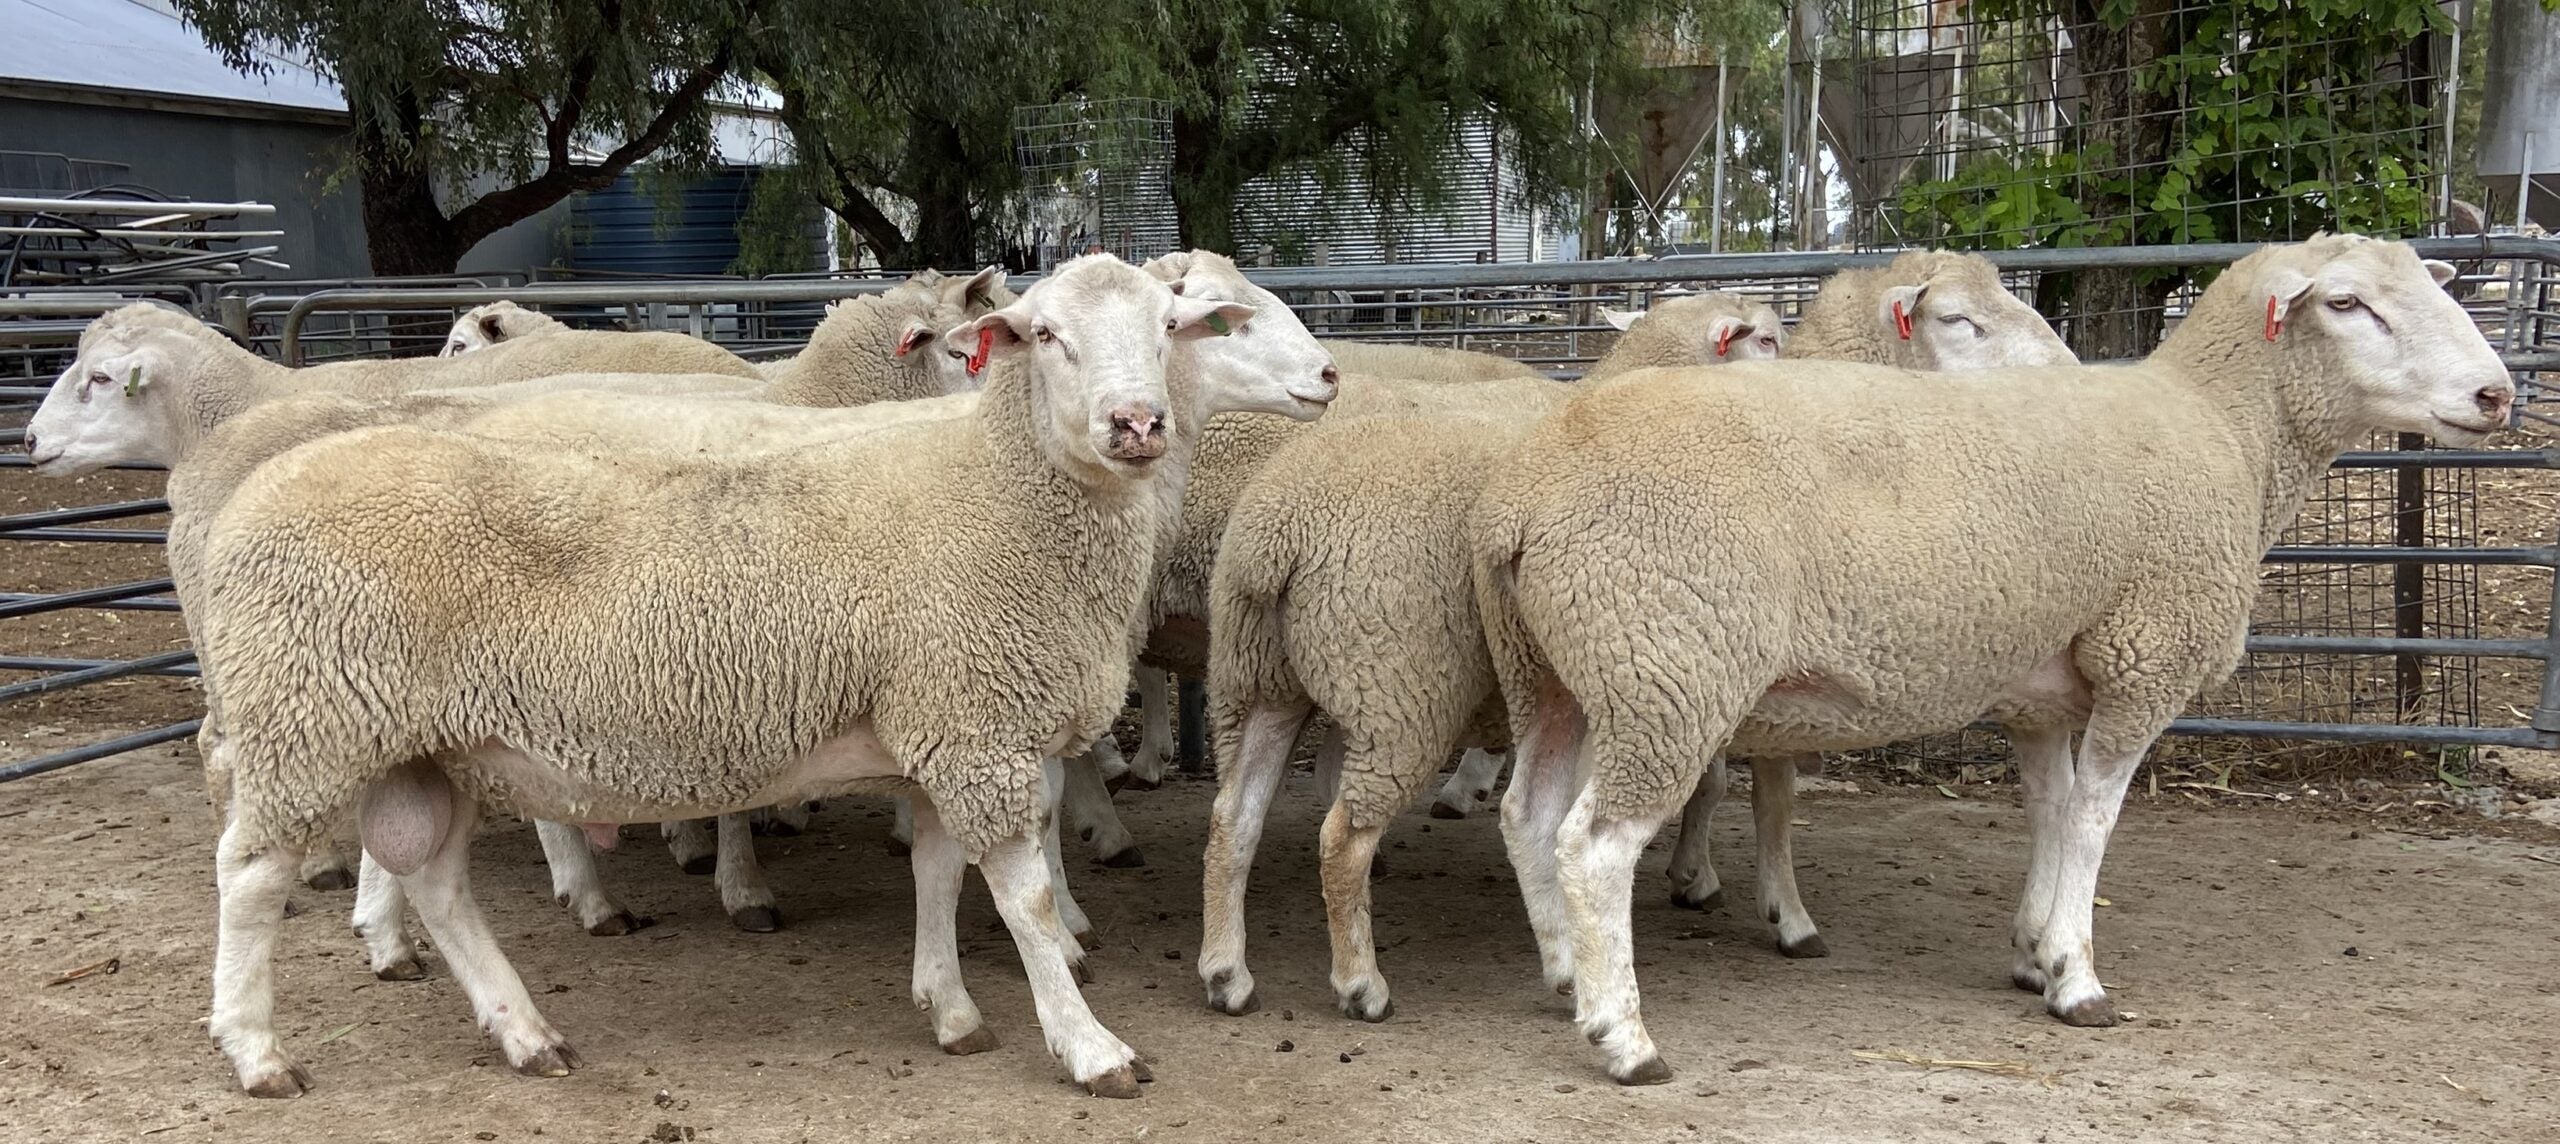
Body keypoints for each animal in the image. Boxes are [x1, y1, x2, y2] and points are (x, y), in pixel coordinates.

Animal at [189, 253, 1273, 1100]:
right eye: (1045, 334)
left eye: (1167, 327)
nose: (1136, 424)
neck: (998, 488)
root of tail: (246, 501)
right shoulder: (976, 724)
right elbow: (1029, 902)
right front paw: (1089, 1046)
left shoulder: (936, 725)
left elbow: (935, 873)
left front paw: (951, 1009)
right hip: (310, 723)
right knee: (248, 874)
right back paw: (254, 1049)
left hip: (423, 746)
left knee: (440, 885)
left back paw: (525, 1033)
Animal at [1196, 292, 1781, 1021]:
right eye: (1768, 339)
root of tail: (1277, 534)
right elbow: (1677, 788)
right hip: (1396, 685)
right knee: (1342, 838)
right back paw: (1361, 983)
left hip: (1255, 676)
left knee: (1234, 818)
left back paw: (1227, 974)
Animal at [1466, 235, 2509, 1085]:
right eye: (2348, 304)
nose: (2496, 394)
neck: (2228, 435)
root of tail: (1529, 493)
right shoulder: (2143, 659)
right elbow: (2092, 821)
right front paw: (2078, 980)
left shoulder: (2044, 689)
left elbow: (2050, 810)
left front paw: (2032, 950)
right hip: (1669, 667)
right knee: (1595, 846)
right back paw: (1623, 1037)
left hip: (1562, 673)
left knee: (1529, 816)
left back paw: (1565, 976)